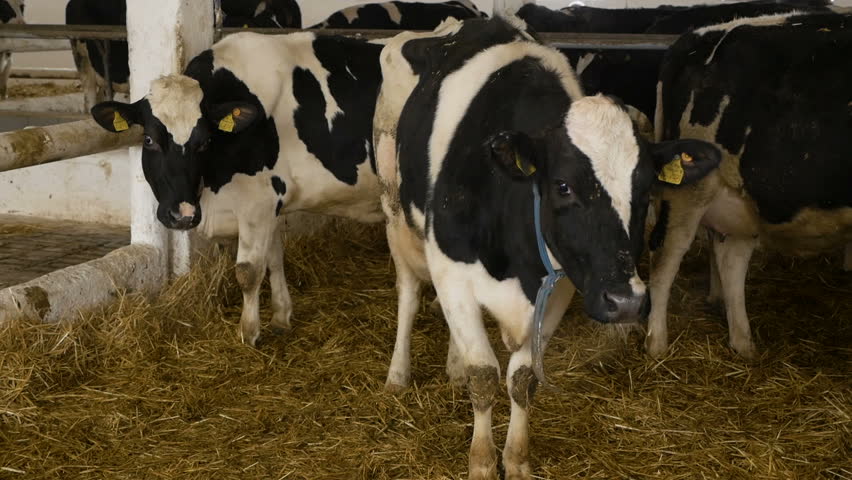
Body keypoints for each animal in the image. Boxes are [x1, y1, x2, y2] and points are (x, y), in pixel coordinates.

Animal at [89, 31, 385, 347]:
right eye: (148, 140)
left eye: (205, 141)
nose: (182, 215)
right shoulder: (269, 205)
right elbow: (273, 258)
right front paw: (281, 317)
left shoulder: (258, 203)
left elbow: (248, 271)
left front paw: (248, 333)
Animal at [374, 16, 721, 479]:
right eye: (562, 186)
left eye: (646, 190)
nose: (626, 302)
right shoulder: (452, 271)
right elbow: (484, 375)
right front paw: (481, 463)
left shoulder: (561, 286)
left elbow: (522, 380)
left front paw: (516, 460)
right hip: (394, 209)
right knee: (409, 294)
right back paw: (398, 373)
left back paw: (452, 367)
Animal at [646, 11, 852, 361]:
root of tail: (694, 37)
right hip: (689, 191)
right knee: (665, 261)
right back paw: (656, 344)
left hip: (739, 200)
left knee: (731, 259)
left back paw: (743, 344)